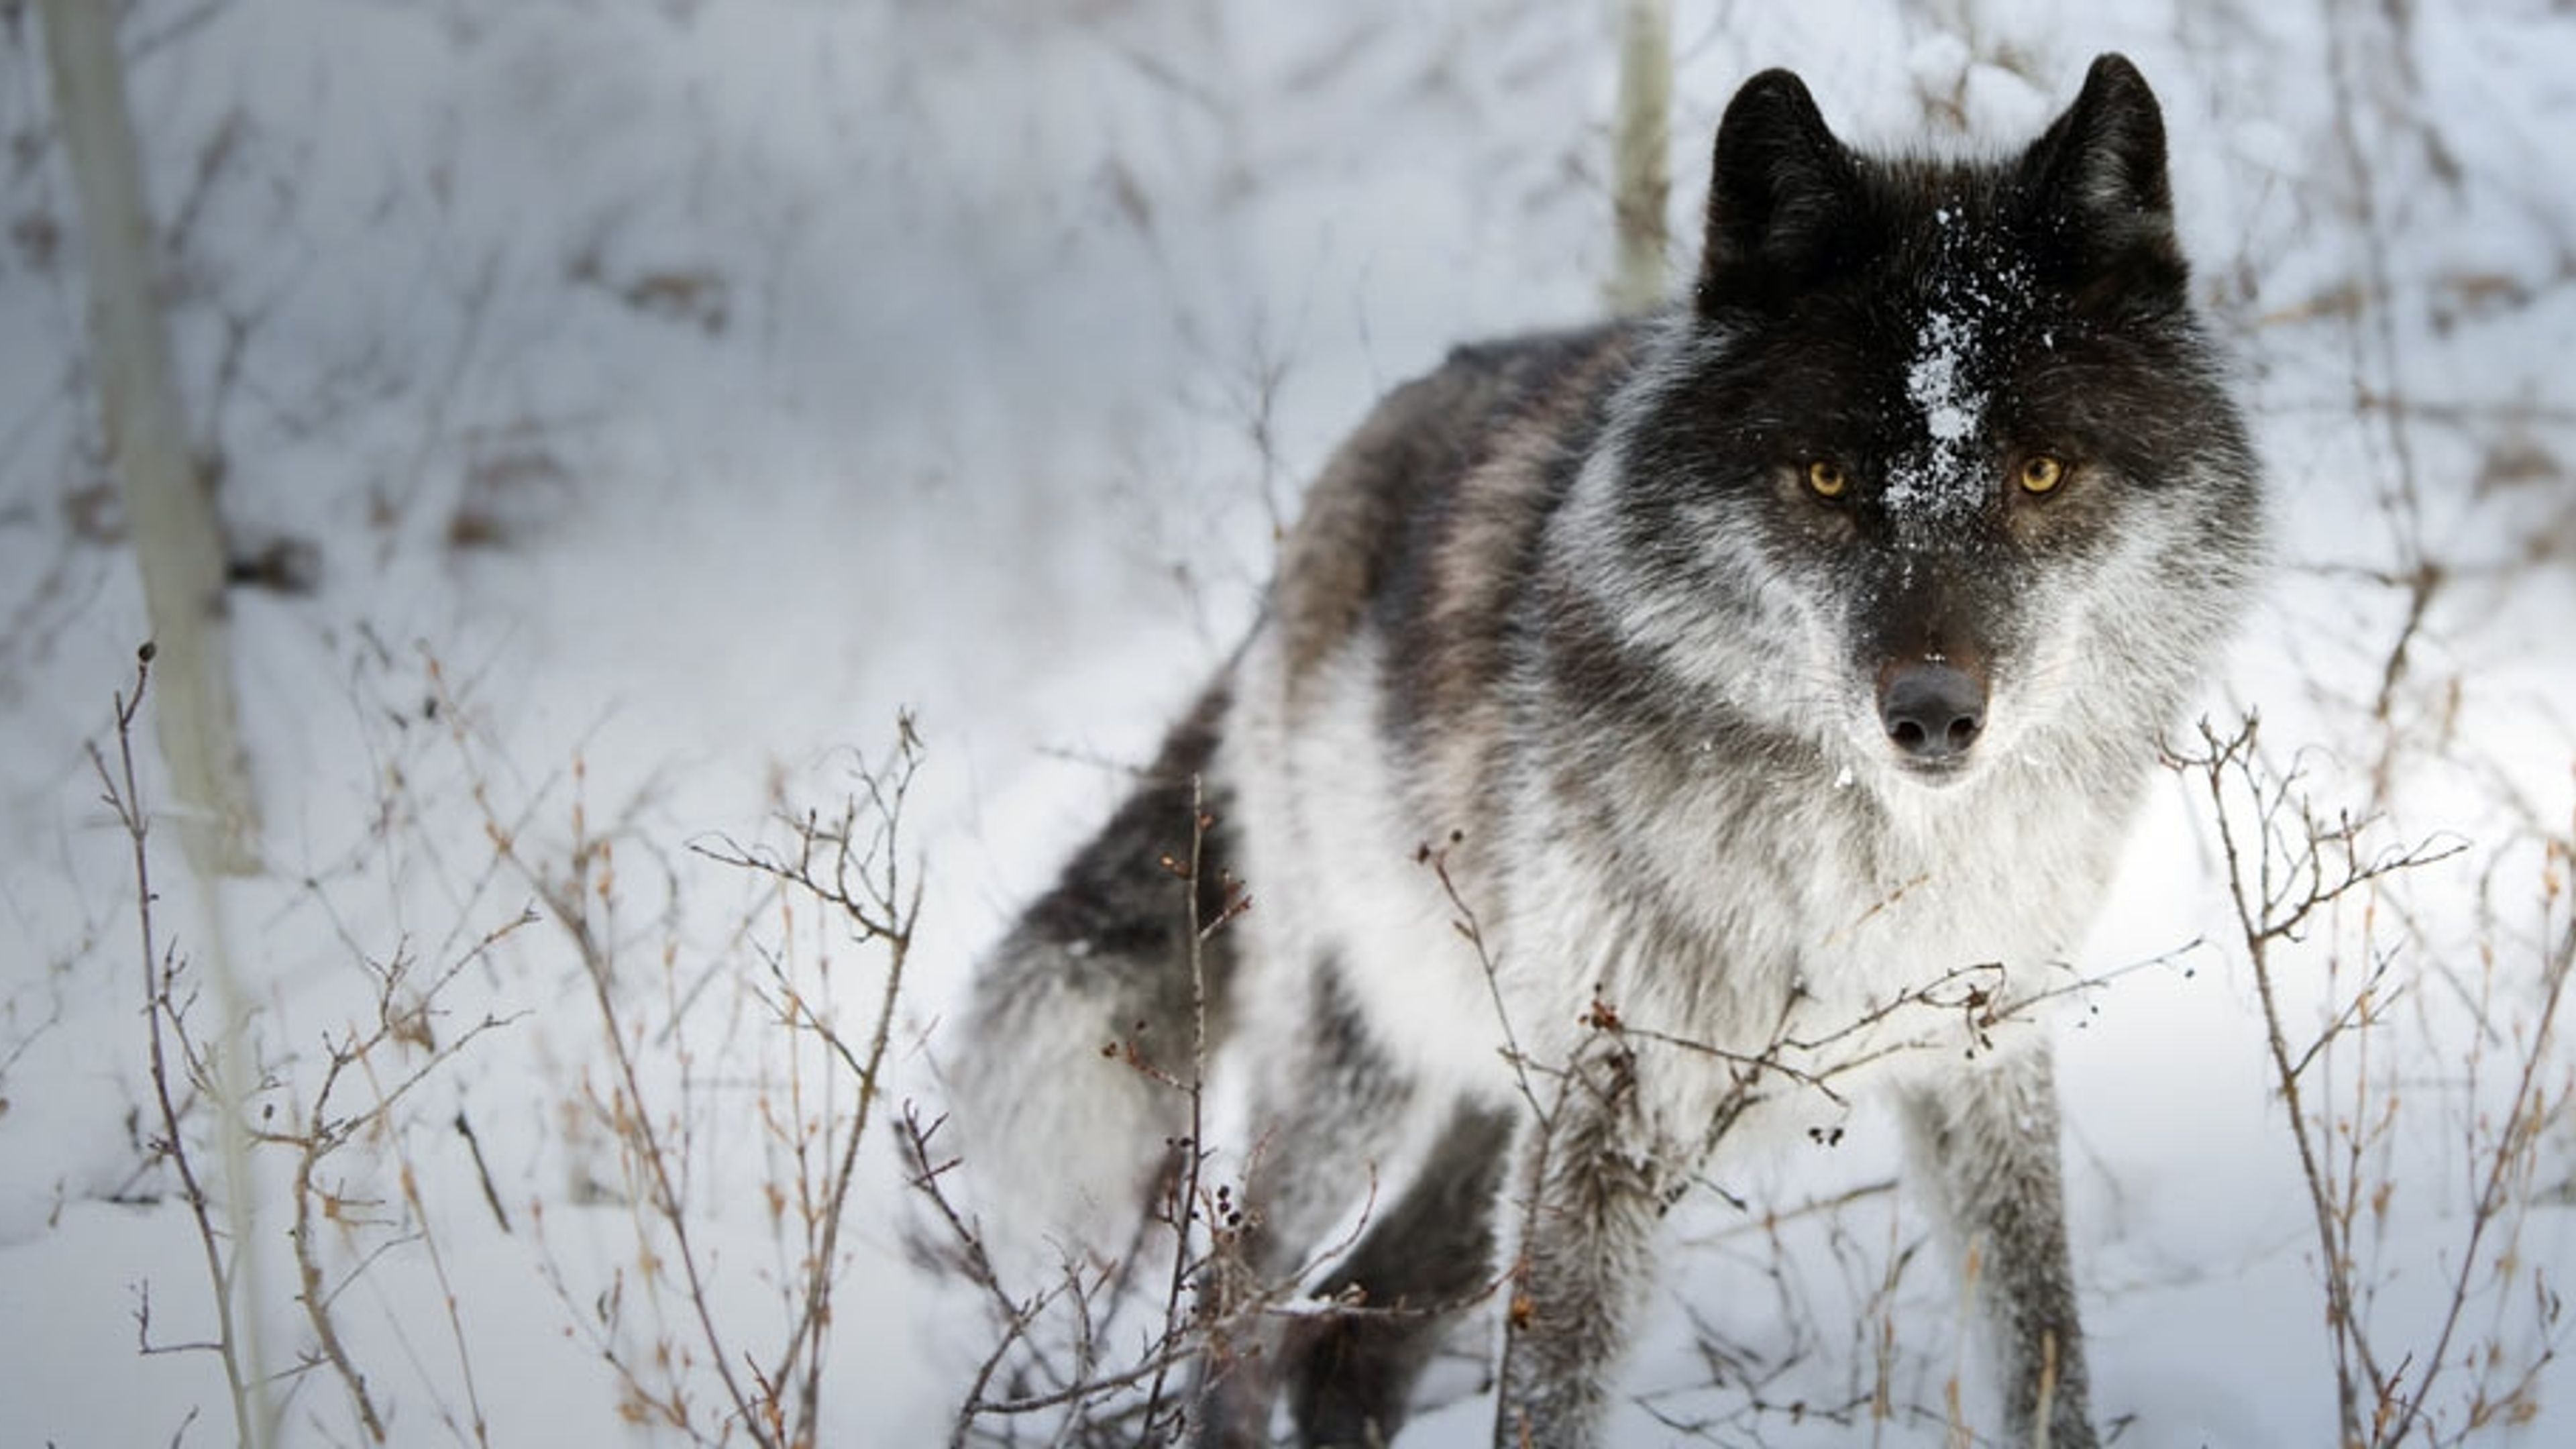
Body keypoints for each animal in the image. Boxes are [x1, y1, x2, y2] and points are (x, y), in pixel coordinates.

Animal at [953, 52, 2259, 1448]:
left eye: (2041, 472)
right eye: (1827, 480)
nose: (1931, 713)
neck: (1859, 853)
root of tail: (1329, 493)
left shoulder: (1985, 1064)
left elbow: (2045, 1352)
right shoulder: (1610, 1112)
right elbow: (1547, 1396)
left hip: (1493, 1083)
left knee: (1354, 1329)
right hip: (1360, 1060)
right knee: (1237, 1298)